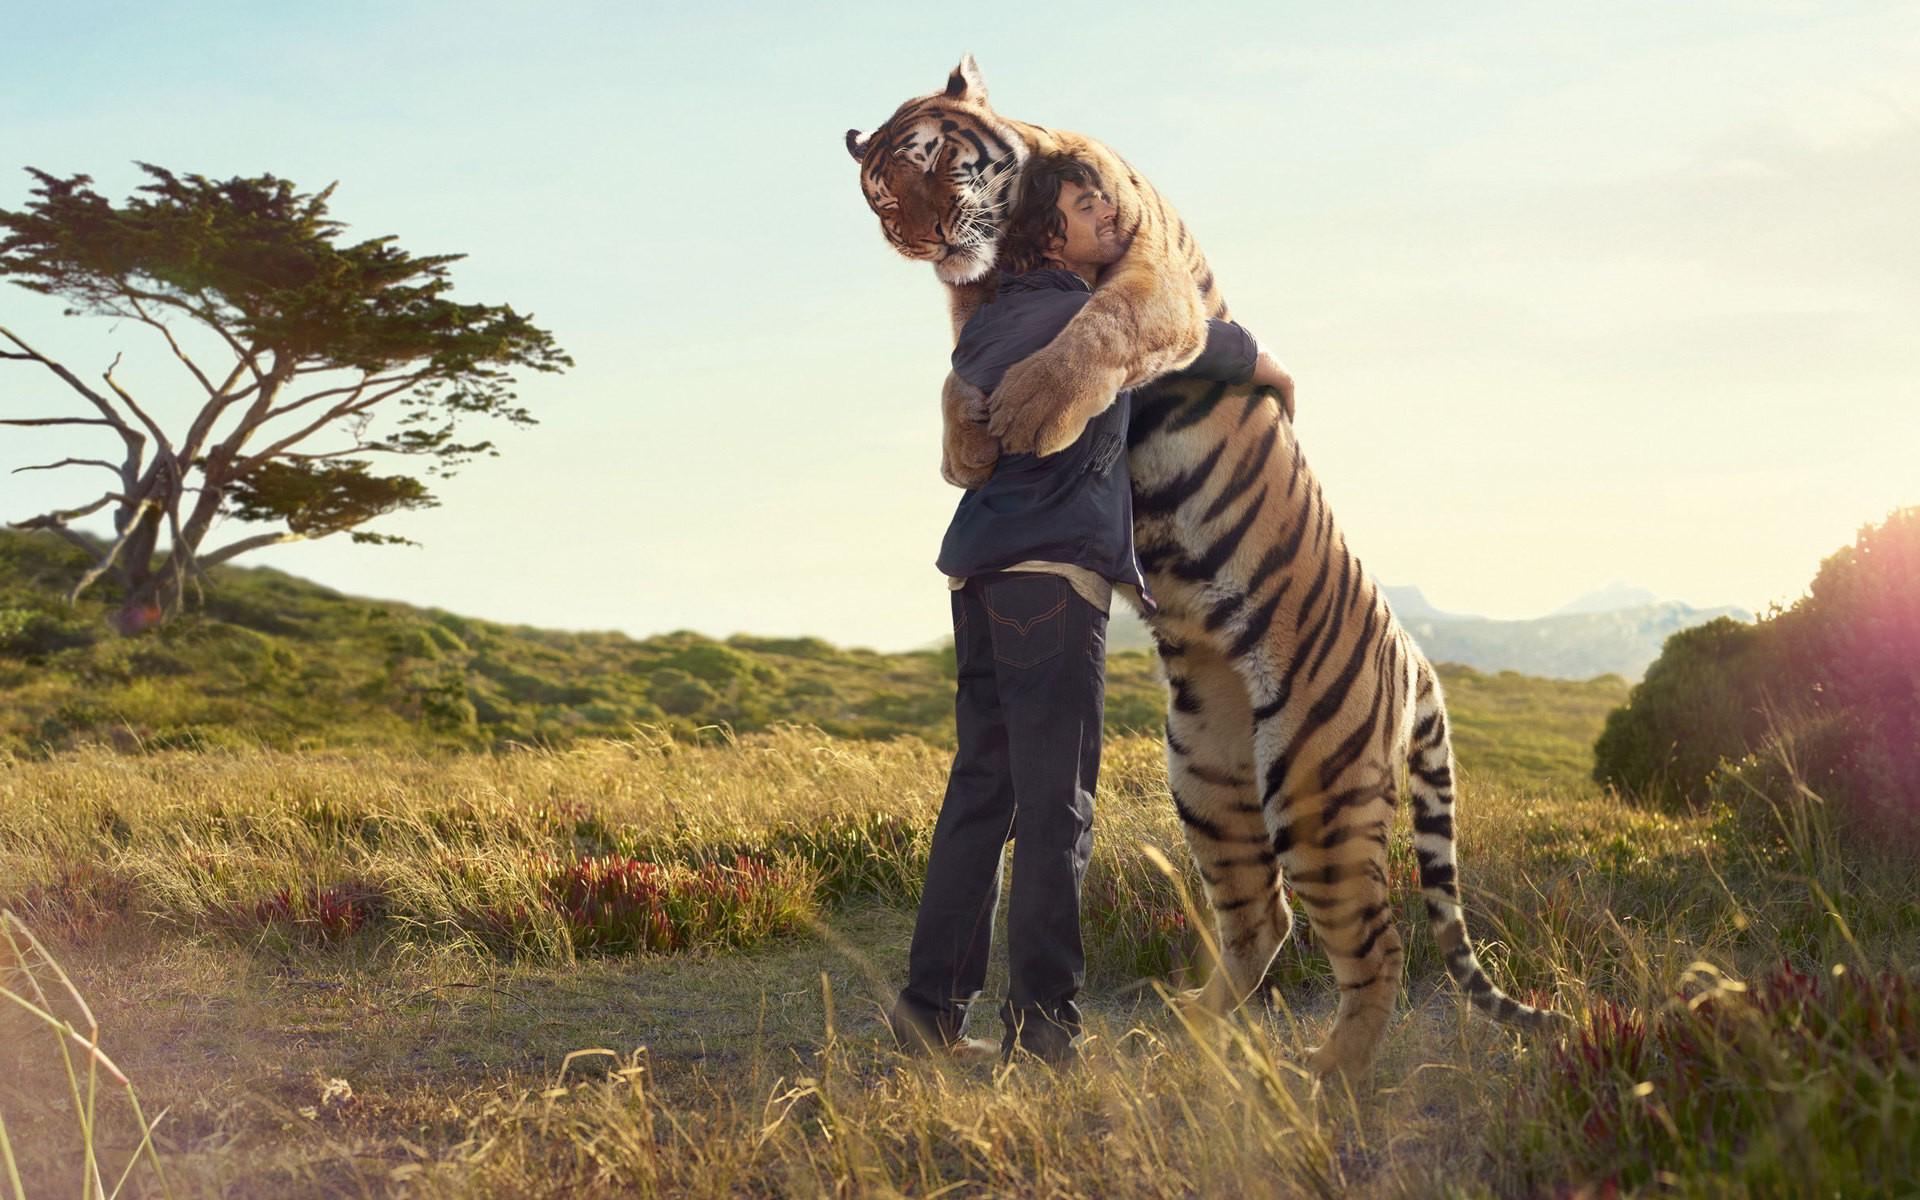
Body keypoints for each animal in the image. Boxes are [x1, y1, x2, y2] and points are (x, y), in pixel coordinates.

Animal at [847, 55, 1569, 1078]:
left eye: (932, 162)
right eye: (879, 198)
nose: (921, 237)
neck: (1012, 249)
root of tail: (1415, 655)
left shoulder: (1153, 280)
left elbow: (1098, 326)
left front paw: (1029, 412)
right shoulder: (972, 312)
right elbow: (957, 371)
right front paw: (968, 446)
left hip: (1315, 789)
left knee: (1375, 945)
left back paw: (1324, 1078)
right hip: (1210, 779)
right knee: (1265, 919)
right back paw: (1188, 1031)